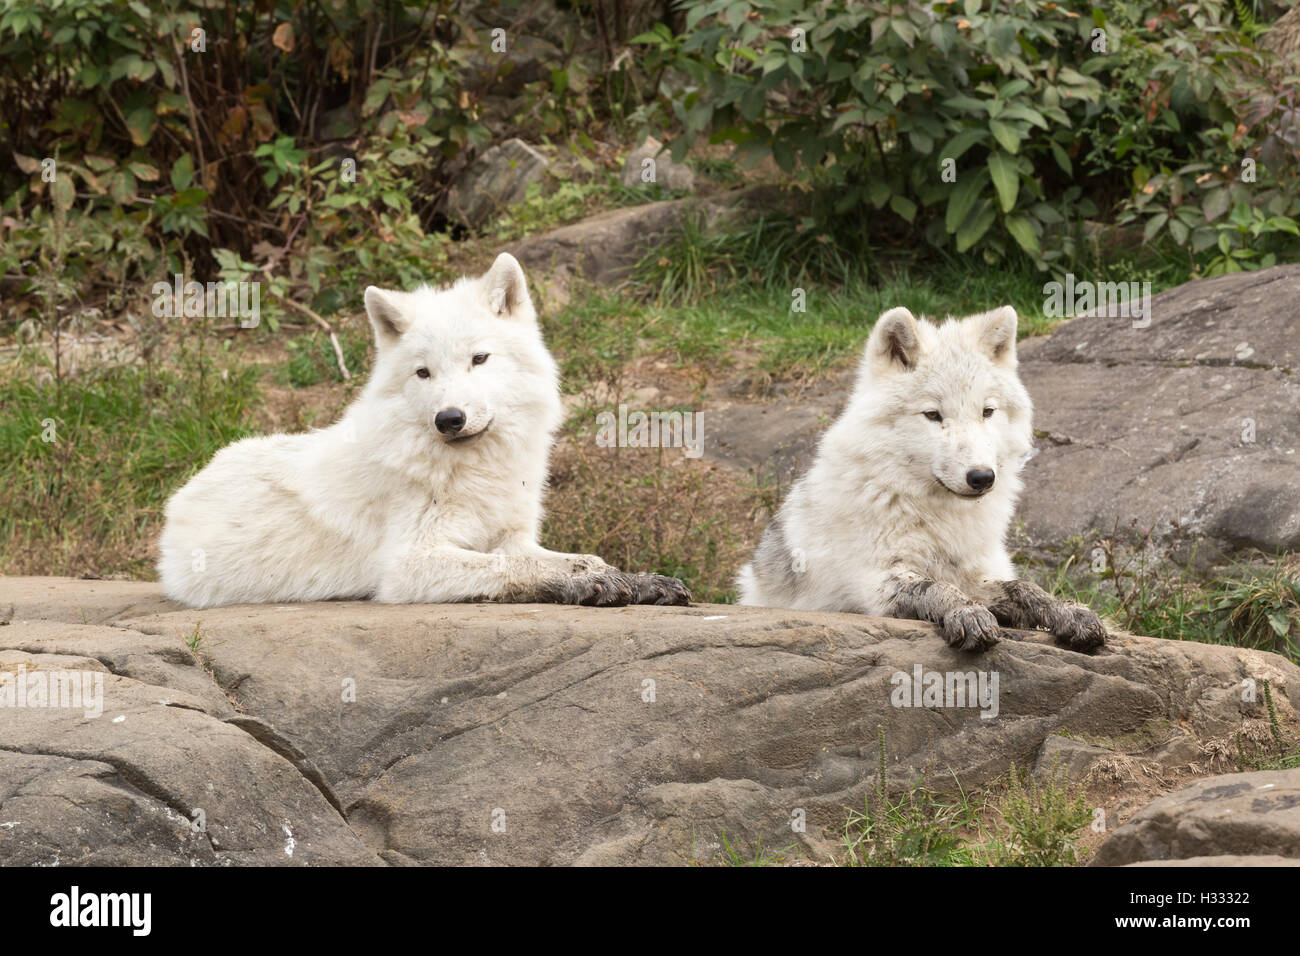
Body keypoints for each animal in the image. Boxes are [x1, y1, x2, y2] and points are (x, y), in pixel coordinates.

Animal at [158, 253, 690, 609]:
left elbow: (584, 557)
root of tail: (187, 486)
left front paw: (640, 580)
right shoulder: (408, 565)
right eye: (423, 373)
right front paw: (584, 586)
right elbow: (515, 569)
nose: (448, 418)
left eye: (479, 359)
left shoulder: (513, 536)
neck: (478, 472)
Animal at [737, 305, 1105, 652]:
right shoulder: (877, 583)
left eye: (987, 412)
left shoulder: (976, 573)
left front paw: (1070, 612)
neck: (937, 515)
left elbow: (1024, 587)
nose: (982, 477)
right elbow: (934, 587)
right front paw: (968, 614)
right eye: (932, 415)